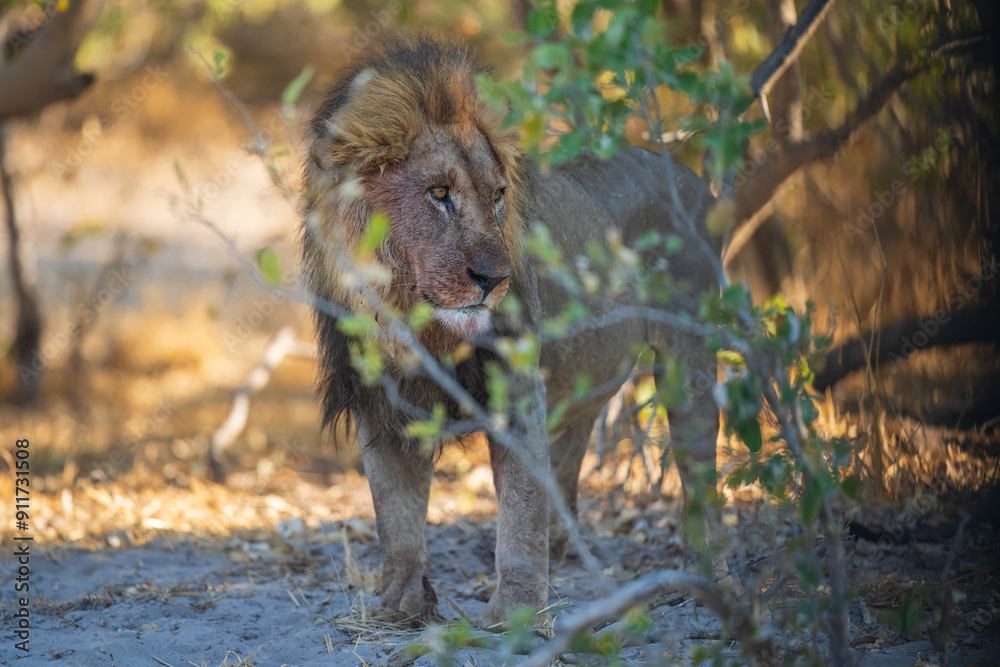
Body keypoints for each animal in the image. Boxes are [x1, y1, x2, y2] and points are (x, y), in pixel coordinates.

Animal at [301, 36, 719, 626]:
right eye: (438, 193)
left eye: (498, 195)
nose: (494, 279)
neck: (411, 320)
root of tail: (693, 180)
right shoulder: (380, 400)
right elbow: (395, 513)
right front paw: (400, 606)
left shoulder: (518, 389)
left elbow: (519, 511)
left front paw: (516, 614)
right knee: (572, 444)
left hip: (689, 360)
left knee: (699, 465)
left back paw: (707, 570)